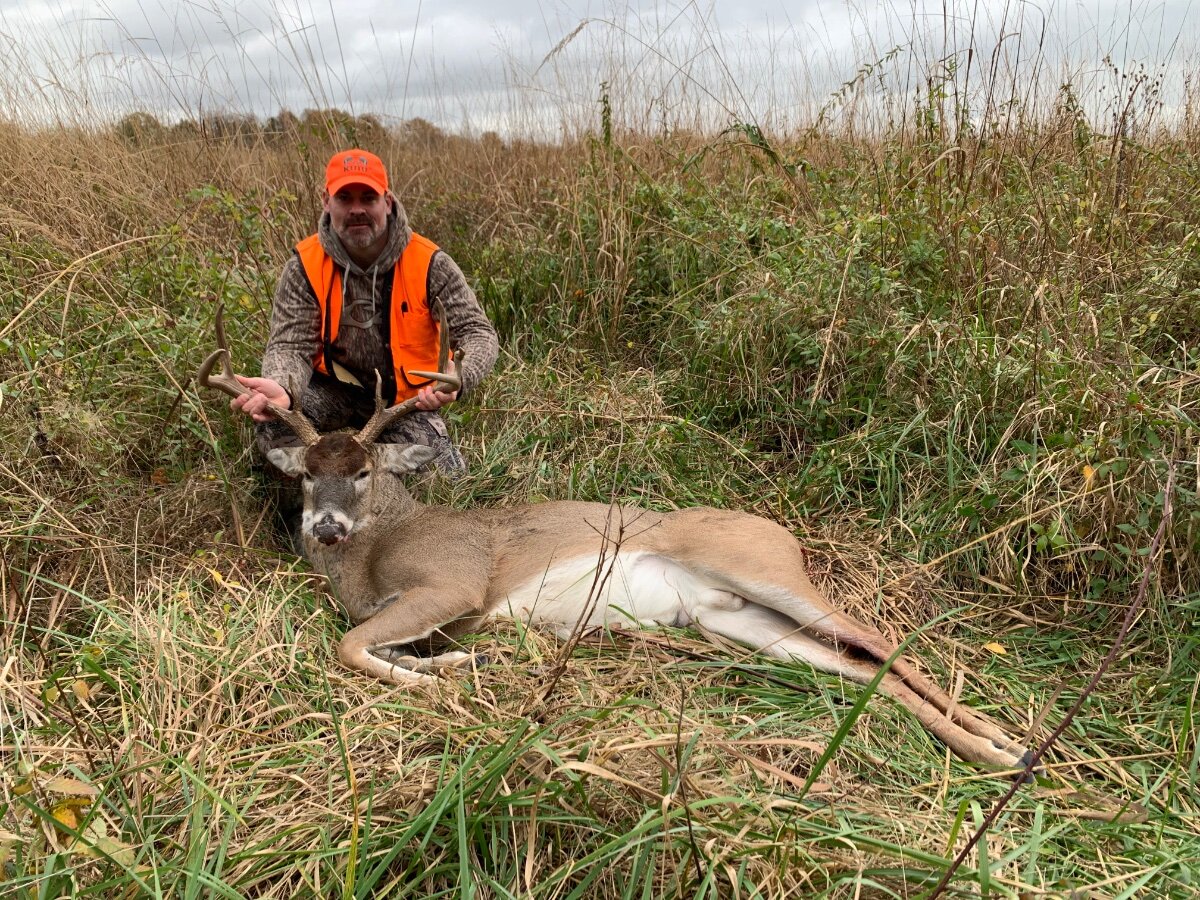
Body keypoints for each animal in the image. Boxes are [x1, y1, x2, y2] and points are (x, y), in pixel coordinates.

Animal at [197, 306, 1033, 774]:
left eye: (364, 470)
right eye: (306, 476)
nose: (327, 527)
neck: (373, 557)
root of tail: (780, 532)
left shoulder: (453, 582)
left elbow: (348, 646)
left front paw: (445, 674)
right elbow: (377, 645)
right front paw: (457, 664)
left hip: (757, 569)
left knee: (881, 639)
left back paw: (1010, 743)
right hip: (737, 622)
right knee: (863, 669)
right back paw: (1004, 754)